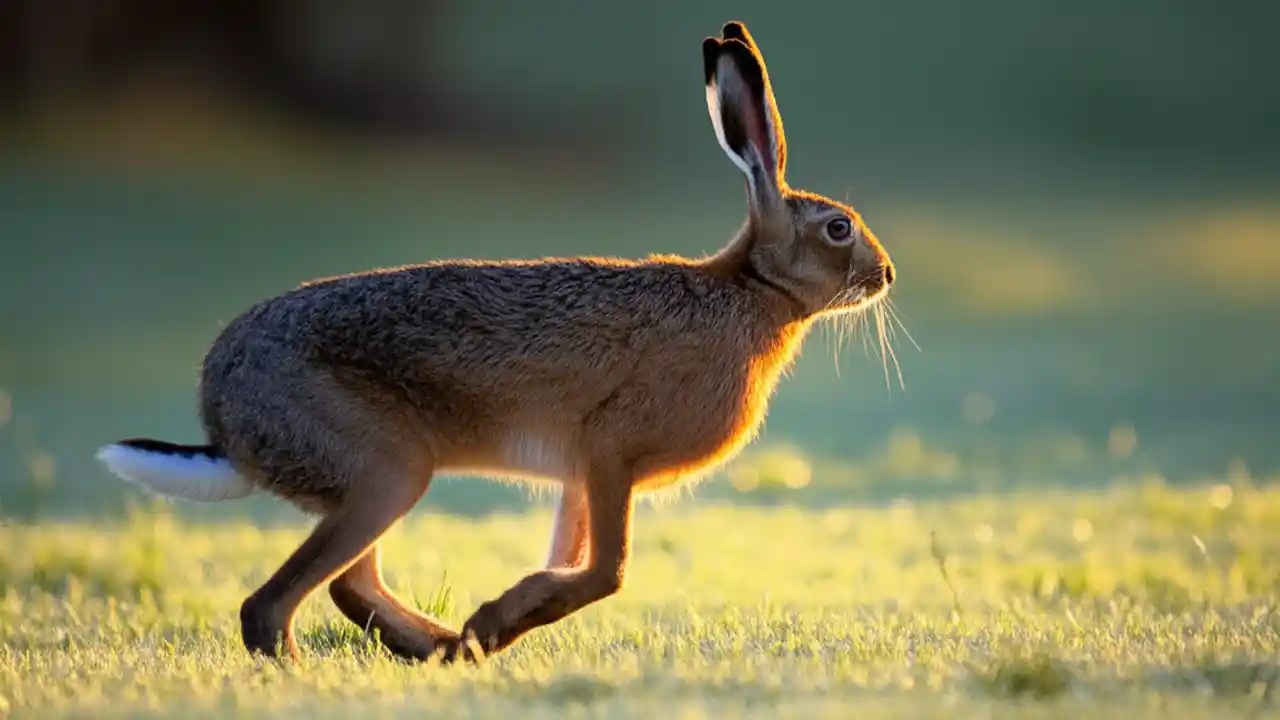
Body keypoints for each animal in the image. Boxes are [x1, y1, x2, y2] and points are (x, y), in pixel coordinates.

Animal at [96, 21, 895, 663]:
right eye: (838, 229)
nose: (886, 274)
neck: (752, 293)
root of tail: (223, 419)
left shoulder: (582, 473)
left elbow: (574, 557)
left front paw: (500, 620)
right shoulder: (610, 449)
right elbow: (607, 572)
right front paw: (498, 618)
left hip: (371, 483)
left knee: (349, 585)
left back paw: (448, 648)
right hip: (386, 471)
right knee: (272, 604)